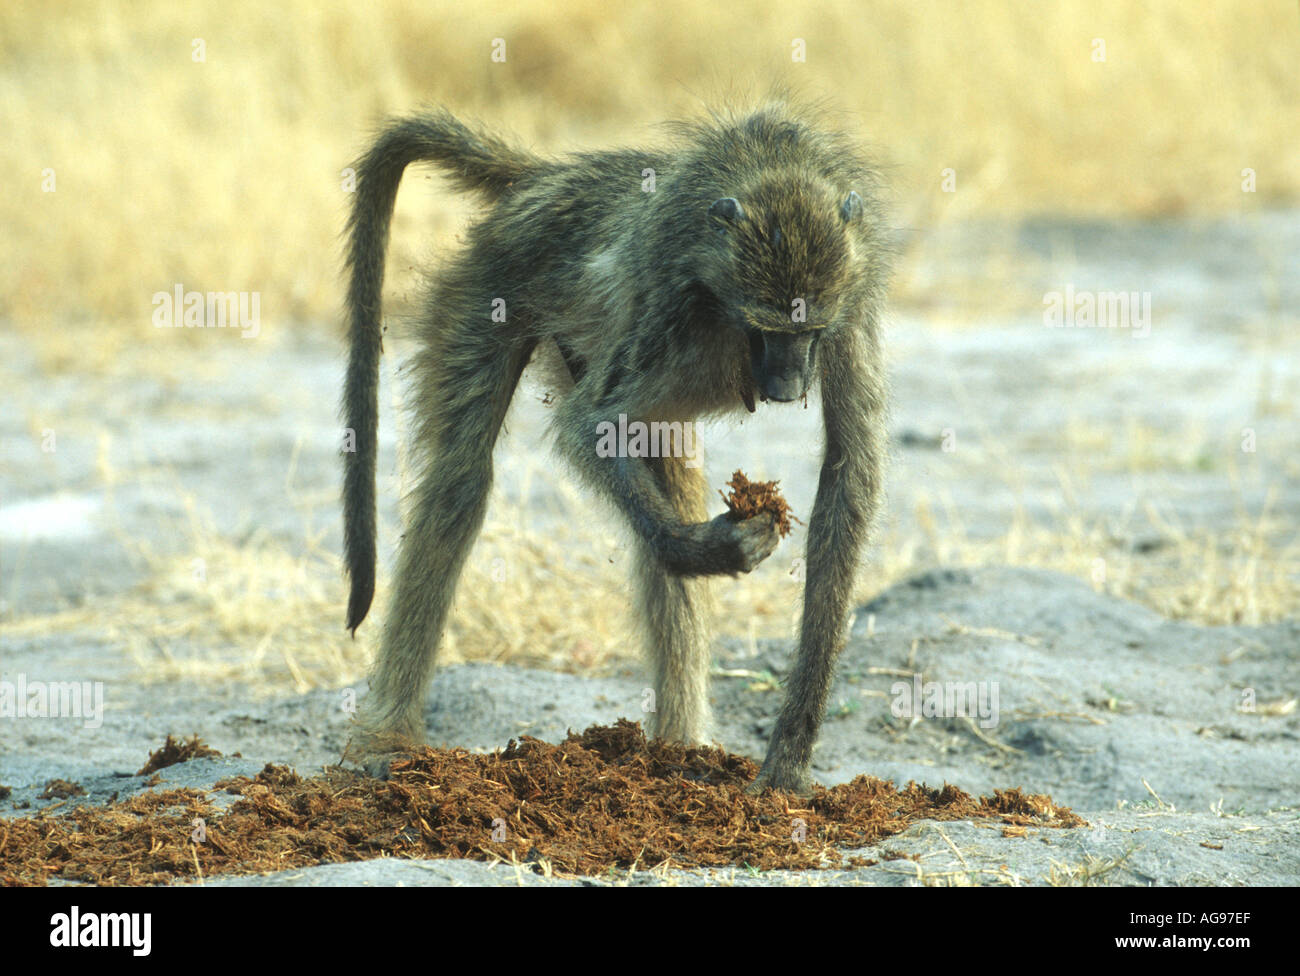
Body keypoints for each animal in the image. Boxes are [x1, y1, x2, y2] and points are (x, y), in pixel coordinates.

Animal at [341, 99, 891, 795]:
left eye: (809, 330)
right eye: (766, 329)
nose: (787, 389)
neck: (770, 168)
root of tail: (552, 179)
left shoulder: (852, 298)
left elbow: (849, 469)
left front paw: (789, 757)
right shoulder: (669, 299)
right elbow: (590, 425)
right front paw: (710, 548)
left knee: (666, 471)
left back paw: (681, 746)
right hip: (491, 284)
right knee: (461, 483)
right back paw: (390, 740)